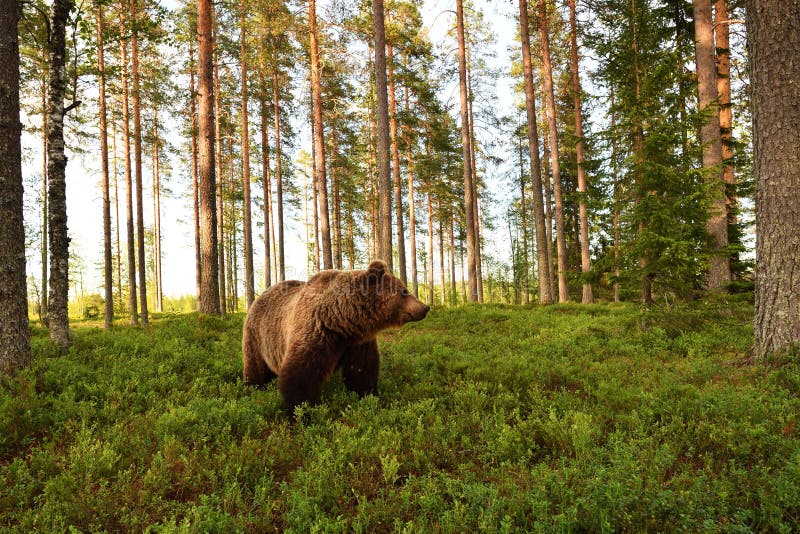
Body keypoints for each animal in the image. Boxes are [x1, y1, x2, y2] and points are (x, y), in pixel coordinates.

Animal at [241, 260, 430, 412]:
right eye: (404, 291)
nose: (425, 307)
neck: (340, 320)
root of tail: (260, 296)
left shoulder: (357, 342)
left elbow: (362, 371)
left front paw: (369, 396)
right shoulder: (316, 333)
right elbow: (300, 374)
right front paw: (301, 411)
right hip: (258, 336)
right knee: (256, 366)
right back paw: (252, 388)